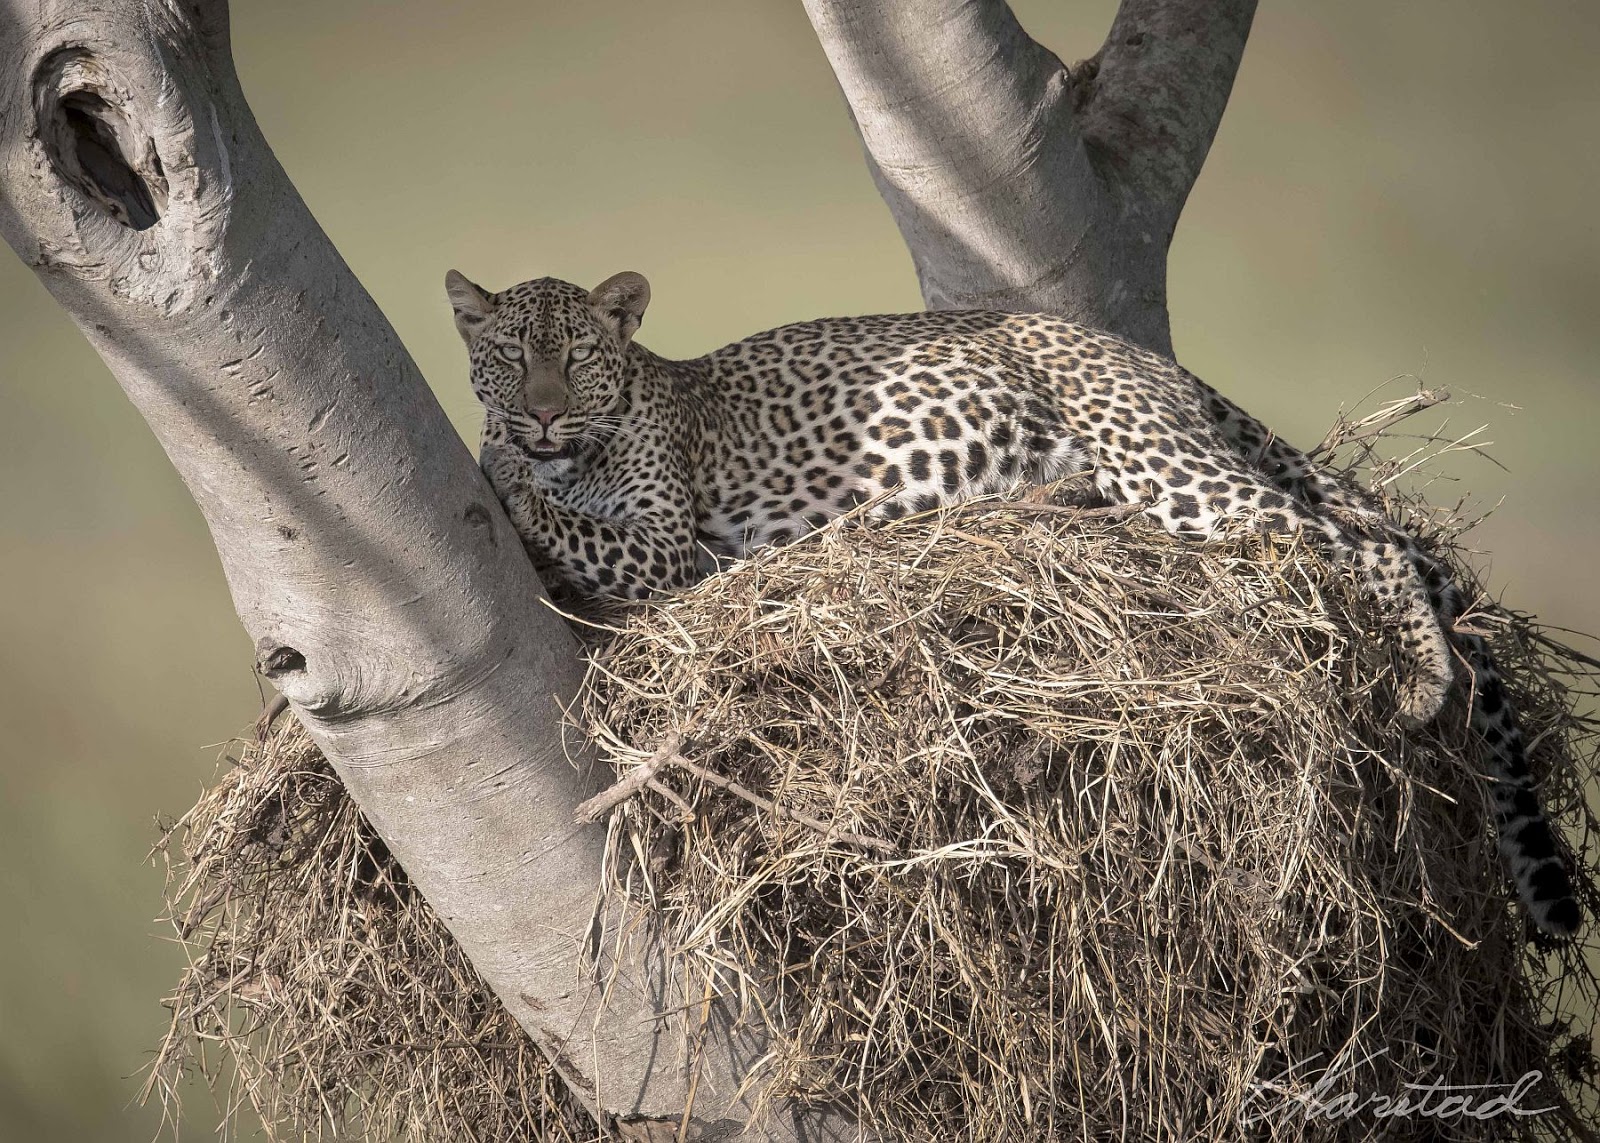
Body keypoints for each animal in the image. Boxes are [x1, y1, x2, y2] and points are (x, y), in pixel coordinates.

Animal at [445, 268, 1580, 938]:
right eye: (505, 356)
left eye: (575, 357)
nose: (538, 413)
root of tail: (1140, 356)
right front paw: (505, 451)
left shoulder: (674, 551)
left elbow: (572, 520)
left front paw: (504, 468)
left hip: (1169, 468)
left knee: (1357, 544)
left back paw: (1425, 675)